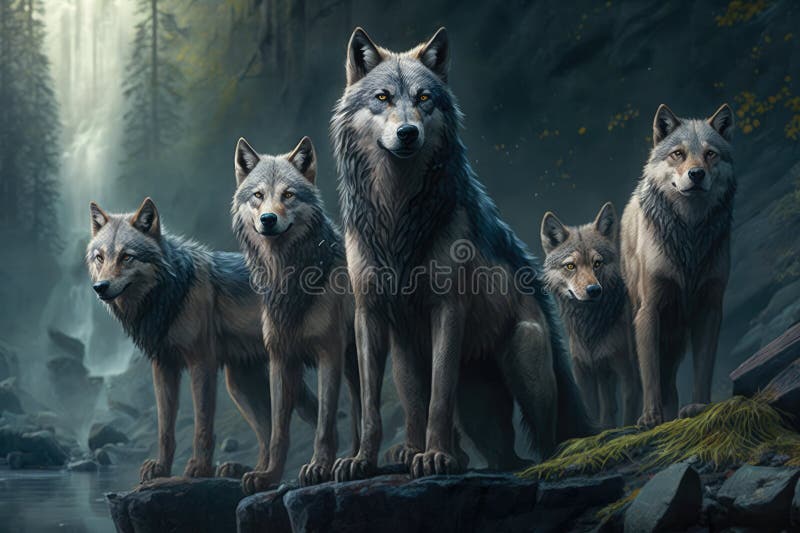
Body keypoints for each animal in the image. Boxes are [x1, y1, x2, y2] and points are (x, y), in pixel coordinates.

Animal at [86, 198, 317, 482]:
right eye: (100, 257)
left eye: (126, 257)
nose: (101, 287)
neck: (172, 294)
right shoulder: (163, 367)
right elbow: (165, 429)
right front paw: (161, 468)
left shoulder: (201, 363)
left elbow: (203, 425)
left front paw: (199, 468)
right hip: (240, 385)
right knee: (268, 431)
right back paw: (250, 471)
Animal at [231, 136, 361, 493]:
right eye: (258, 195)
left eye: (288, 194)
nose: (268, 219)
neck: (287, 276)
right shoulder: (280, 358)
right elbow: (278, 431)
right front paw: (268, 476)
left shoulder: (328, 353)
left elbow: (324, 423)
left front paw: (318, 467)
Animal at [330, 27, 592, 481]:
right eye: (382, 97)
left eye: (423, 98)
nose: (408, 133)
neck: (395, 213)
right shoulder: (370, 314)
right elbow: (371, 405)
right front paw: (361, 460)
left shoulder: (448, 307)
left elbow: (439, 396)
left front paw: (436, 457)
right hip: (409, 359)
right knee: (490, 450)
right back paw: (414, 452)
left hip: (524, 345)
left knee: (541, 439)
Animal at [541, 202, 641, 428]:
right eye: (570, 266)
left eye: (597, 263)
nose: (594, 290)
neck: (589, 329)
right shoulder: (584, 371)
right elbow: (593, 412)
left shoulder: (626, 373)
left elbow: (627, 415)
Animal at [621, 103, 735, 427]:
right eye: (678, 154)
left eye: (710, 154)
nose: (696, 174)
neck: (690, 237)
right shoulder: (649, 311)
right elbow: (650, 375)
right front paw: (650, 417)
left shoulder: (710, 310)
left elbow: (704, 368)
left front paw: (699, 407)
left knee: (671, 384)